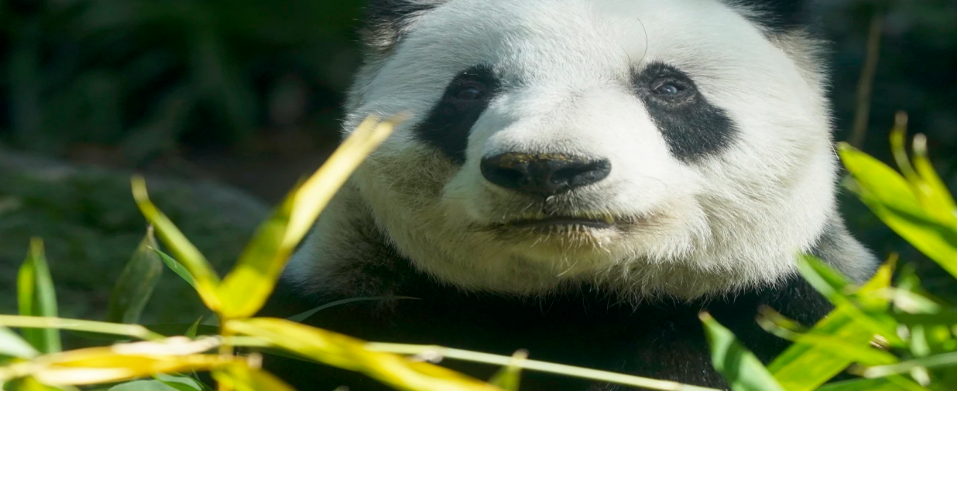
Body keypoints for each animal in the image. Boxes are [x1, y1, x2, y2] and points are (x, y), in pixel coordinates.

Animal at [269, 0, 878, 390]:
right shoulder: (345, 316)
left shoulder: (797, 316)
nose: (548, 167)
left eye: (669, 87)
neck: (577, 299)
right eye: (468, 90)